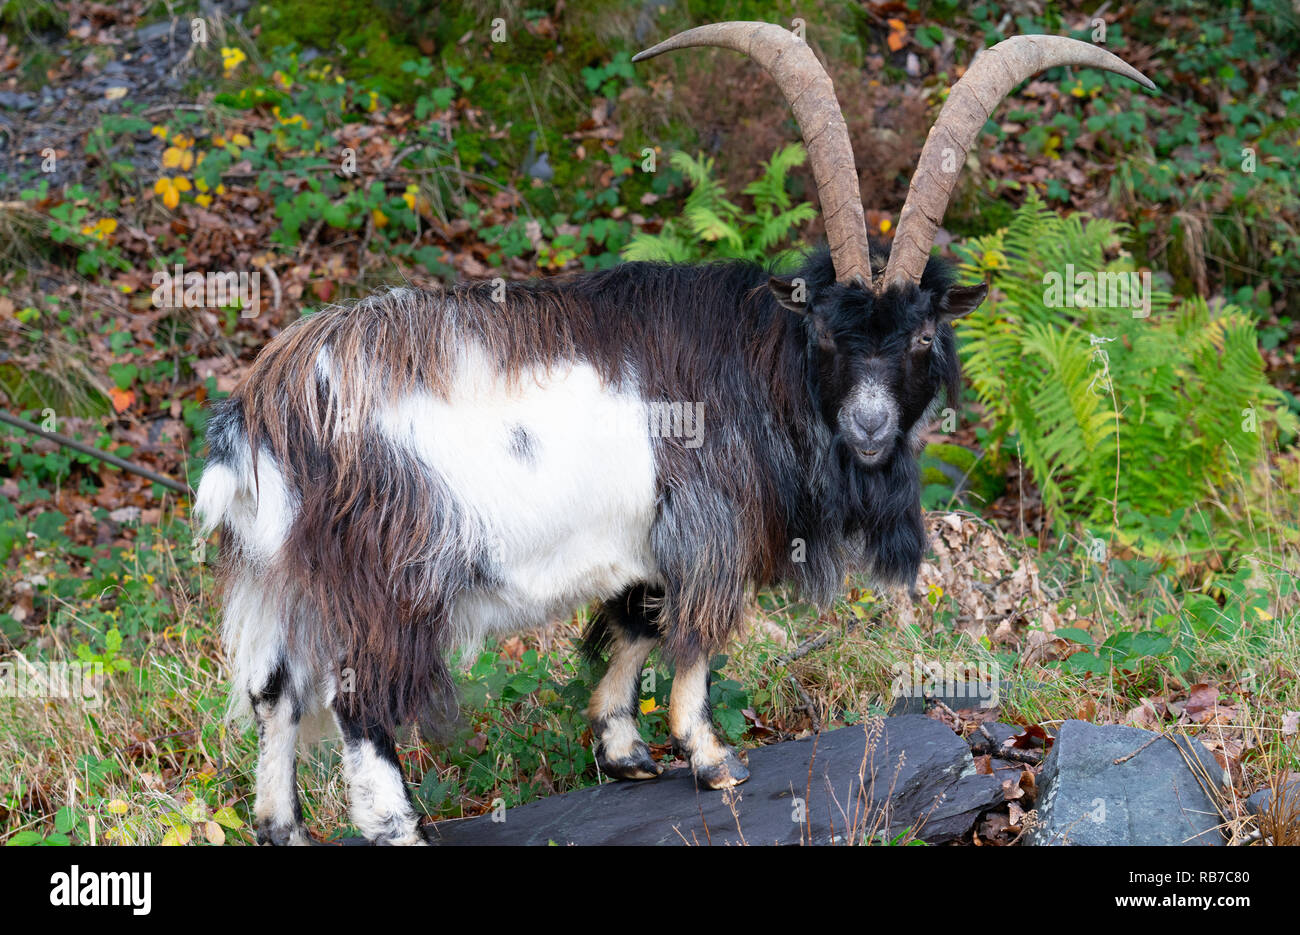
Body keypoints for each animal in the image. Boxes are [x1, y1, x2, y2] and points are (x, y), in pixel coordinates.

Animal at [195, 22, 1153, 845]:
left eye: (921, 338)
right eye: (827, 335)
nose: (872, 425)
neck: (761, 358)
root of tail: (265, 412)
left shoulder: (642, 538)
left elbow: (634, 624)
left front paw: (623, 752)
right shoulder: (711, 523)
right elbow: (694, 640)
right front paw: (712, 758)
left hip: (284, 576)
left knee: (274, 691)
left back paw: (282, 825)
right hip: (382, 579)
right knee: (356, 702)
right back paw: (400, 827)